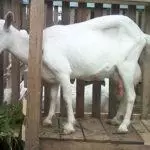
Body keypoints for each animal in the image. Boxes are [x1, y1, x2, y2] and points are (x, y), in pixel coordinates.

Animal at [0, 11, 148, 134]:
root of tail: (142, 35)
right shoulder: (54, 76)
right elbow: (52, 96)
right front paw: (48, 120)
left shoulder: (63, 71)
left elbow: (66, 97)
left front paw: (69, 126)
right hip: (119, 72)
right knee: (125, 95)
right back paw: (115, 120)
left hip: (127, 66)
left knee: (131, 96)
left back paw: (123, 126)